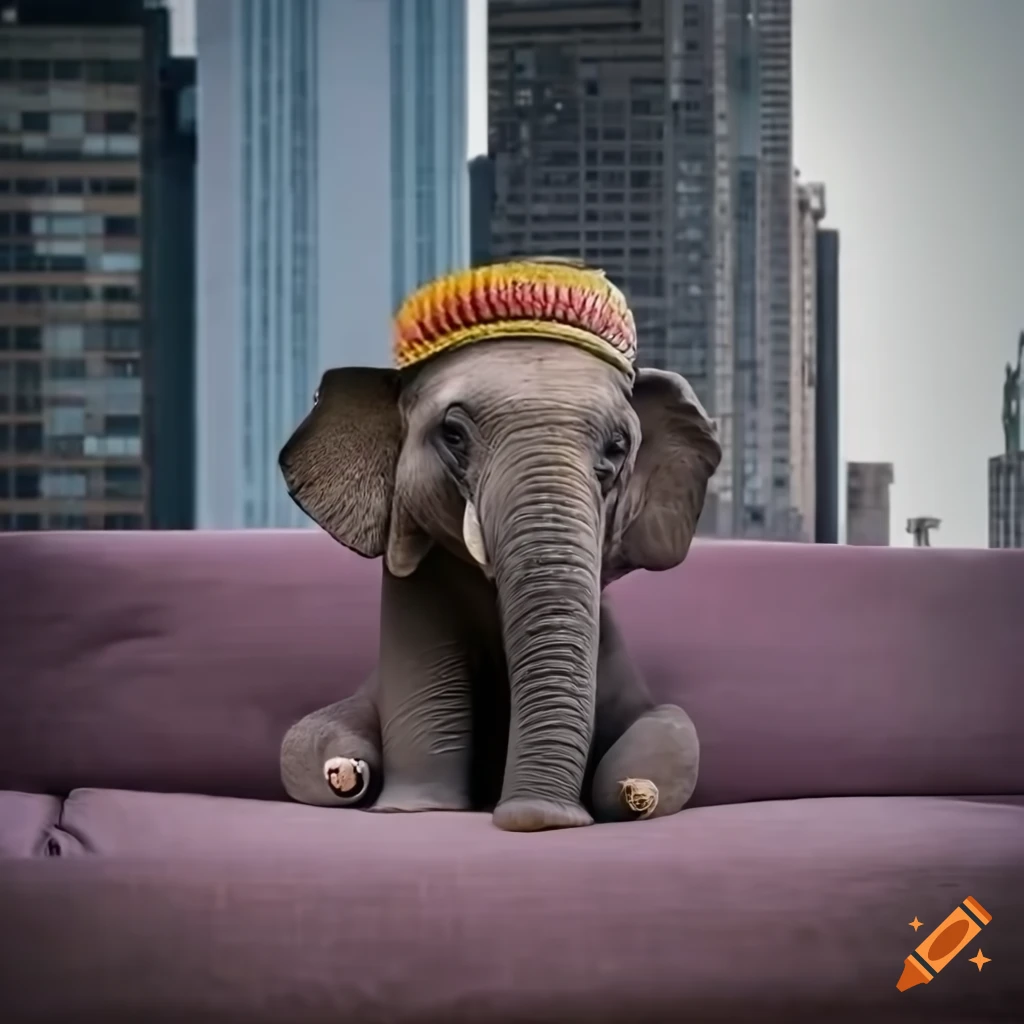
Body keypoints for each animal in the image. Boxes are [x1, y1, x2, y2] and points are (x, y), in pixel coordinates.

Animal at [278, 337, 721, 832]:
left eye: (618, 446)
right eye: (453, 435)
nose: (537, 818)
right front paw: (417, 810)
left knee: (672, 729)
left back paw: (636, 795)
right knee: (306, 742)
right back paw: (346, 773)